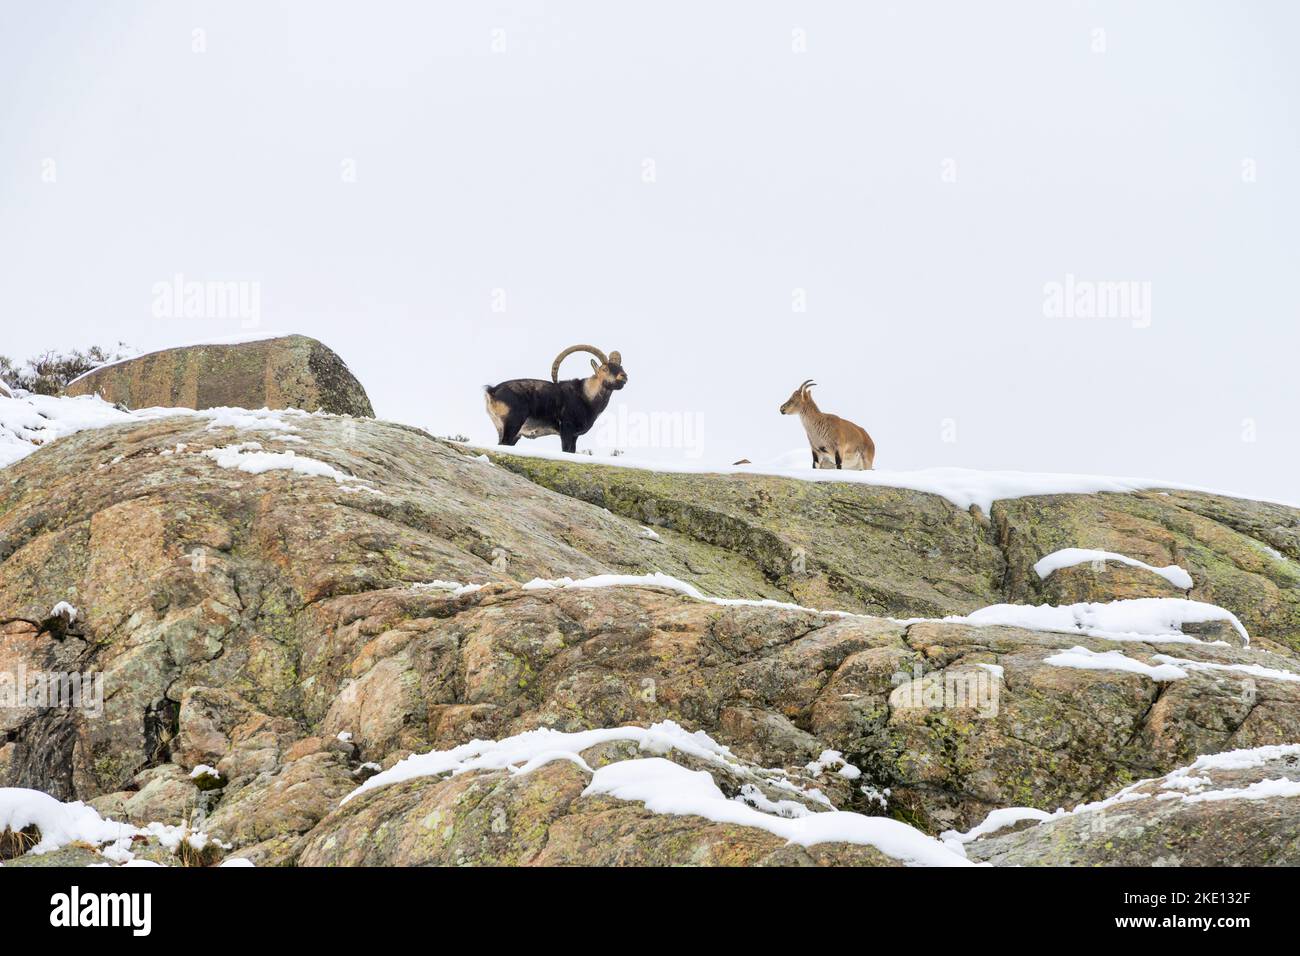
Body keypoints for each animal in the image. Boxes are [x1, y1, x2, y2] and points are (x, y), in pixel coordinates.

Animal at [484, 344, 627, 454]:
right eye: (605, 368)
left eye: (621, 367)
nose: (623, 376)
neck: (586, 395)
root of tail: (492, 391)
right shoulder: (566, 429)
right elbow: (566, 450)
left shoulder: (574, 436)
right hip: (512, 423)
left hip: (509, 430)